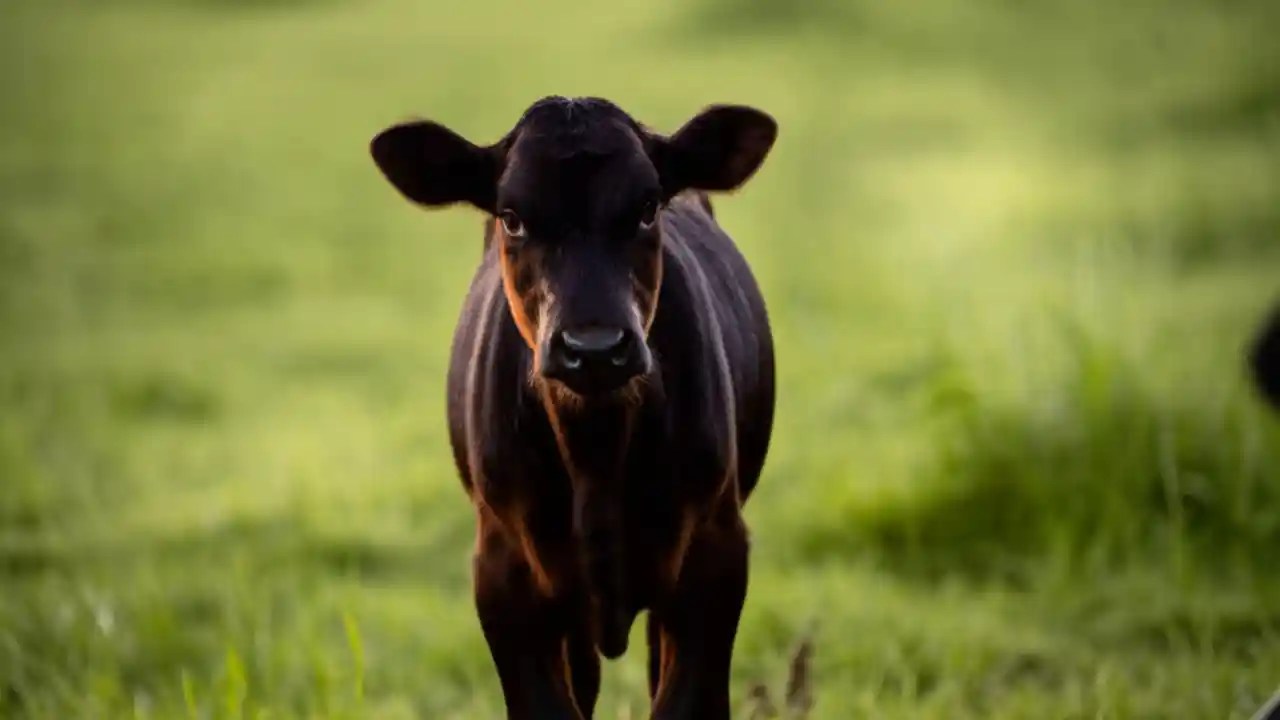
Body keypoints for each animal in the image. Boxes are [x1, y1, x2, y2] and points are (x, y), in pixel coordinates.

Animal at [369, 96, 778, 719]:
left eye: (647, 208)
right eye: (512, 216)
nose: (595, 347)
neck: (596, 457)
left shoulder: (716, 555)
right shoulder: (504, 571)